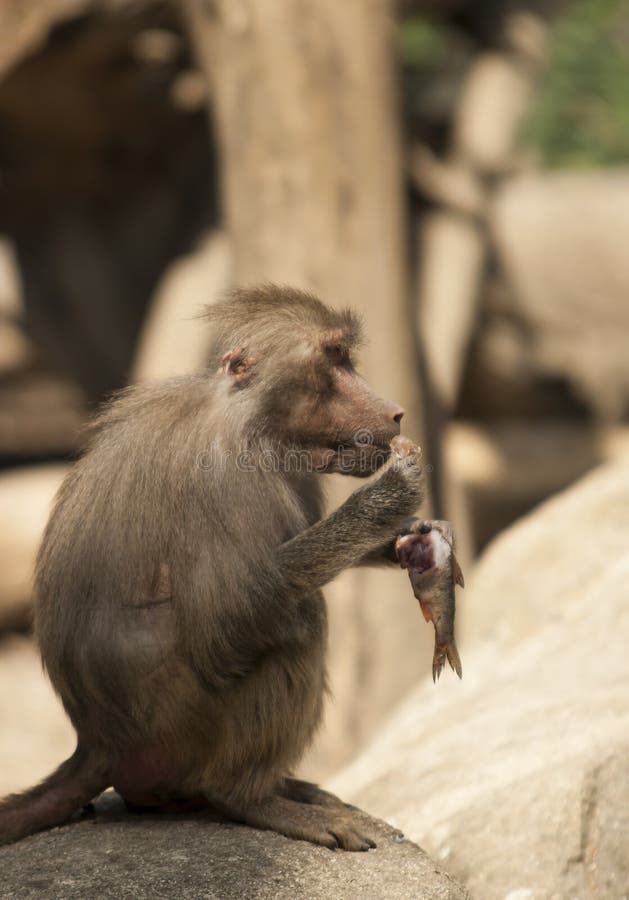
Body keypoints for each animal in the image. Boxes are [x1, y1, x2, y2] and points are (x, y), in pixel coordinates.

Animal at [0, 285, 423, 852]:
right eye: (333, 359)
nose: (395, 413)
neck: (254, 421)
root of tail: (97, 743)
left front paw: (413, 539)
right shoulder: (226, 478)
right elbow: (225, 626)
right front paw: (388, 499)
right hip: (180, 727)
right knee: (302, 620)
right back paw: (251, 799)